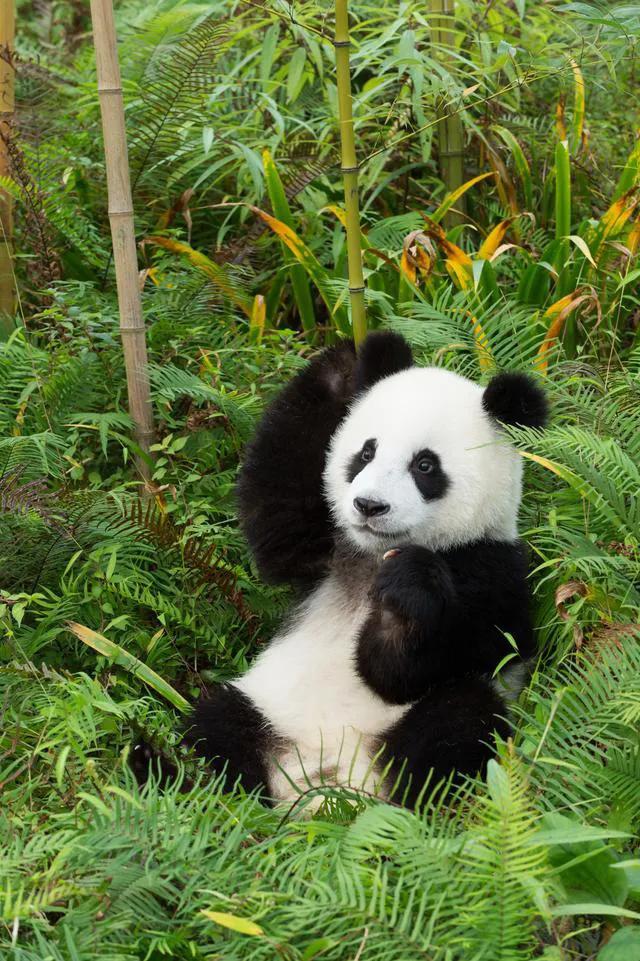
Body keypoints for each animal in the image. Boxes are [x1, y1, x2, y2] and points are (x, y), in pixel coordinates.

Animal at [183, 331, 548, 808]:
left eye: (425, 465)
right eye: (366, 452)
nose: (369, 506)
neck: (374, 556)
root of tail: (325, 785)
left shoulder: (494, 572)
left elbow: (408, 671)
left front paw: (406, 593)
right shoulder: (328, 554)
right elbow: (277, 519)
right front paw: (343, 366)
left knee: (457, 720)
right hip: (266, 709)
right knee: (216, 728)